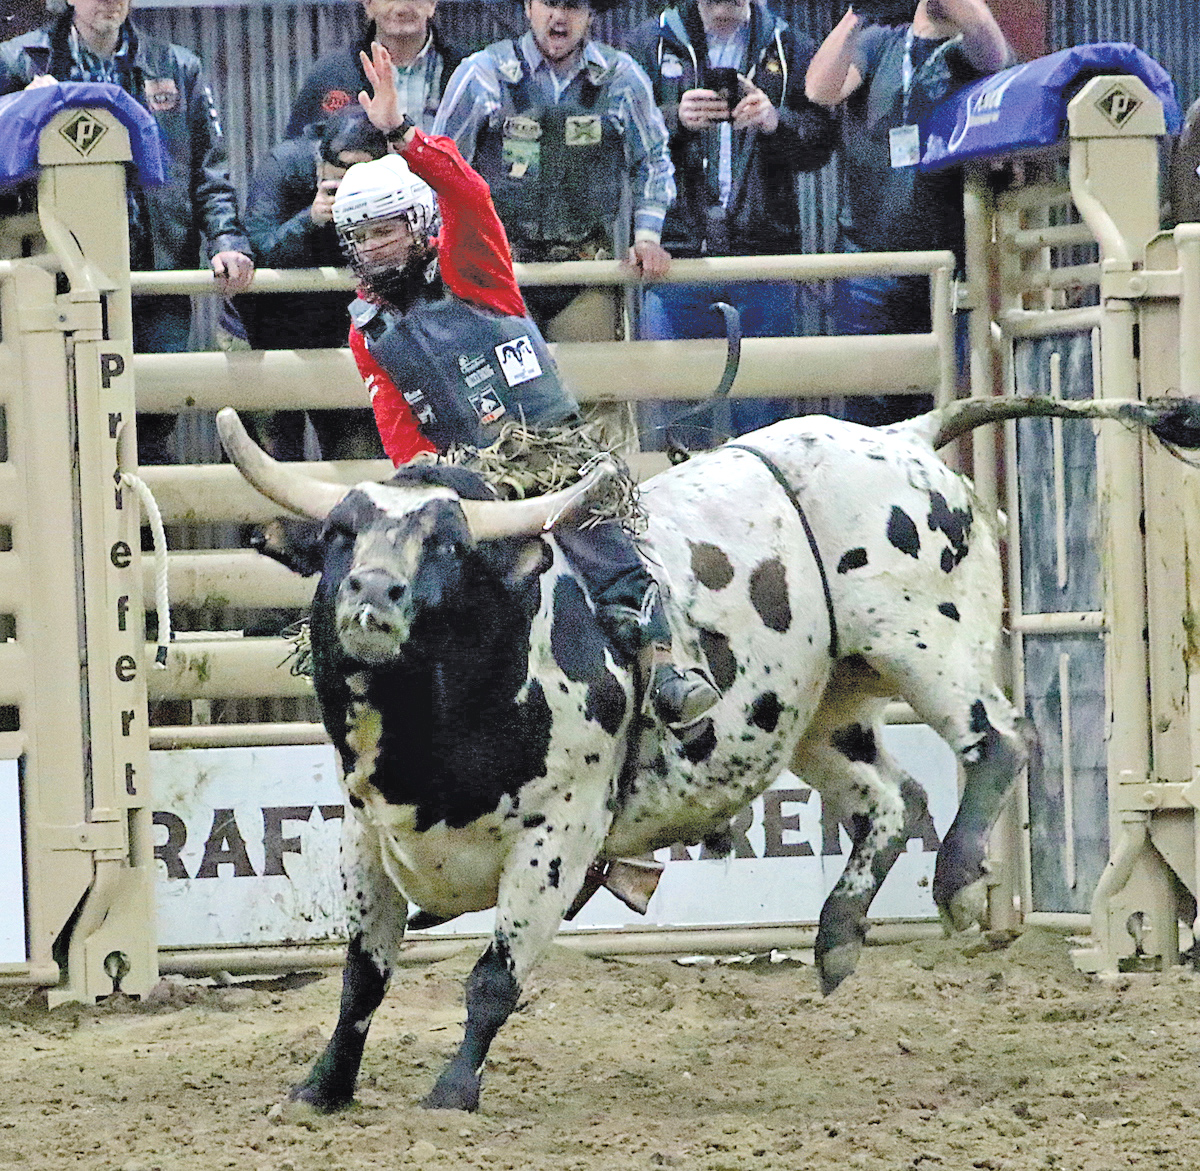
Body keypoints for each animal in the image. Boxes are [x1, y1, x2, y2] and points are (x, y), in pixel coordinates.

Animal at [217, 394, 1200, 1115]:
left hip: (927, 642)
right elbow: (361, 978)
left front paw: (453, 1092)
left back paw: (957, 881)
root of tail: (904, 437)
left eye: (449, 545)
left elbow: (493, 977)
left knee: (999, 739)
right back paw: (837, 939)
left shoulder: (557, 837)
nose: (372, 593)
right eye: (341, 534)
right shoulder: (367, 834)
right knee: (893, 799)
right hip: (817, 712)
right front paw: (321, 1088)